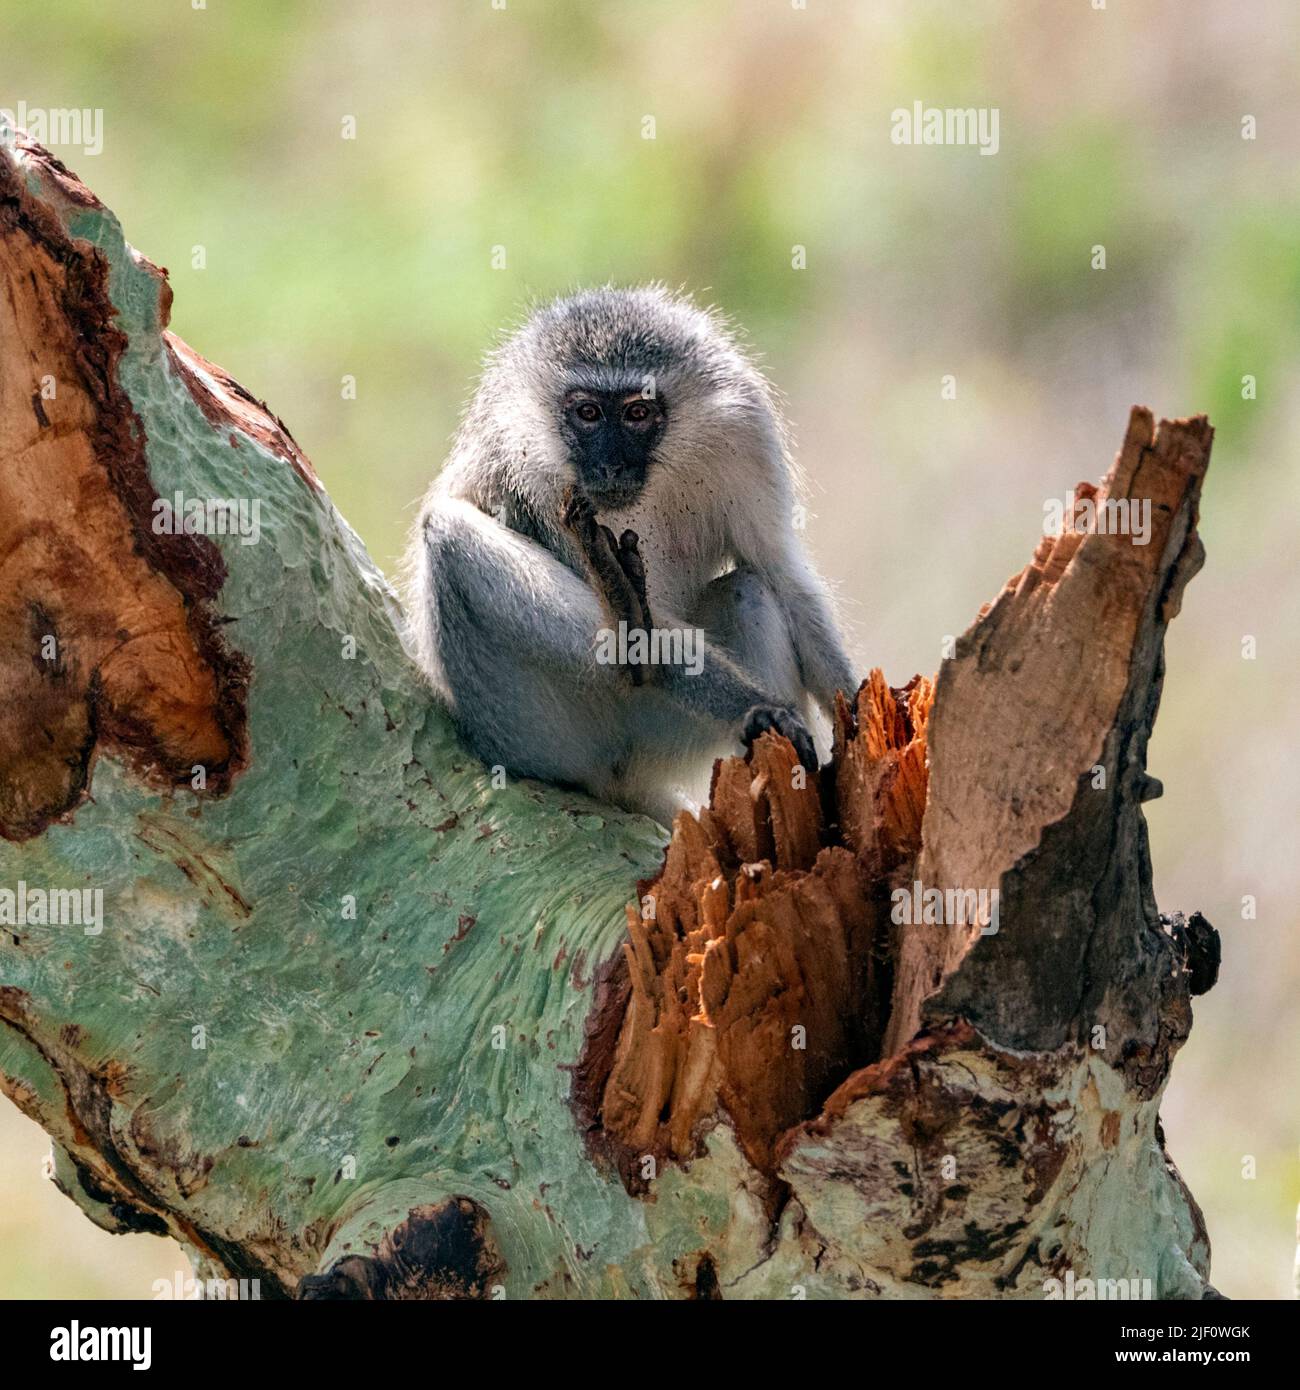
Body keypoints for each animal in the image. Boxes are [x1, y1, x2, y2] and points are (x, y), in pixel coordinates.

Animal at [405, 285, 857, 824]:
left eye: (637, 414)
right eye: (588, 414)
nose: (611, 465)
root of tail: (624, 781)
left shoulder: (744, 431)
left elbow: (780, 570)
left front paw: (858, 713)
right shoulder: (524, 467)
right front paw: (760, 708)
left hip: (664, 735)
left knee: (750, 589)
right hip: (529, 732)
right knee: (449, 531)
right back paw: (635, 632)